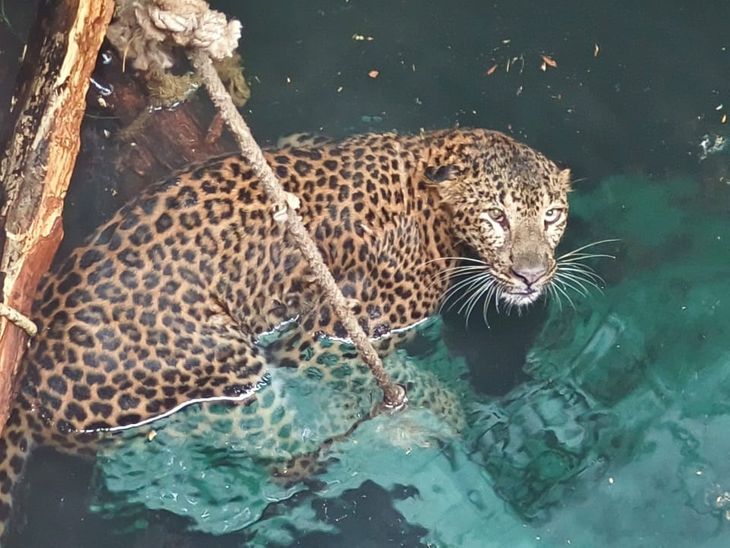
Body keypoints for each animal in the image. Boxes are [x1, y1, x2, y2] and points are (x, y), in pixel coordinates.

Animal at [0, 127, 571, 540]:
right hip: (231, 371)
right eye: (496, 216)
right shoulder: (326, 338)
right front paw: (438, 405)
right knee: (286, 451)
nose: (532, 275)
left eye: (551, 215)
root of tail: (27, 391)